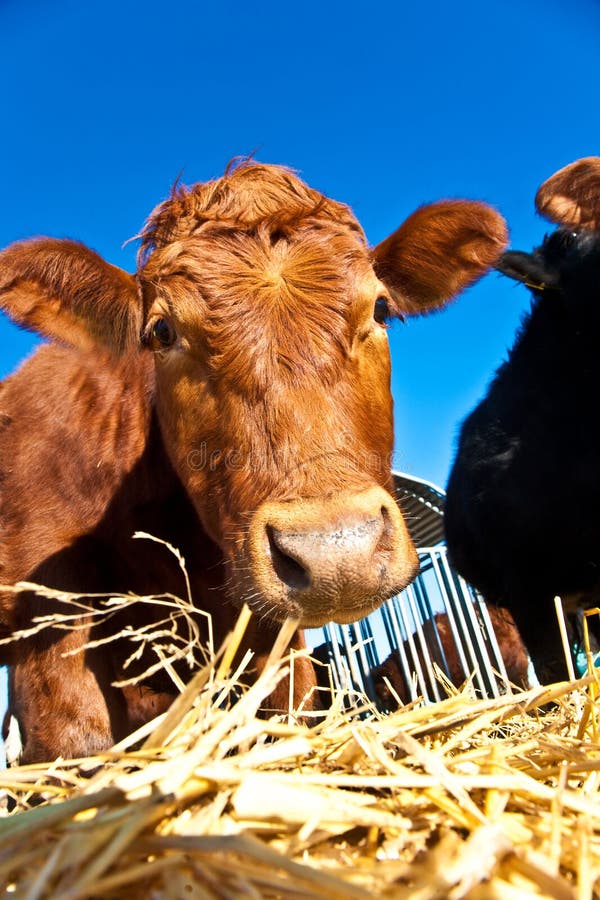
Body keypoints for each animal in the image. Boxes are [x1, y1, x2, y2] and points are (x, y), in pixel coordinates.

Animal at [0, 160, 506, 760]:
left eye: (381, 309)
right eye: (162, 331)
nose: (337, 551)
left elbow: (286, 709)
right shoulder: (45, 607)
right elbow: (78, 742)